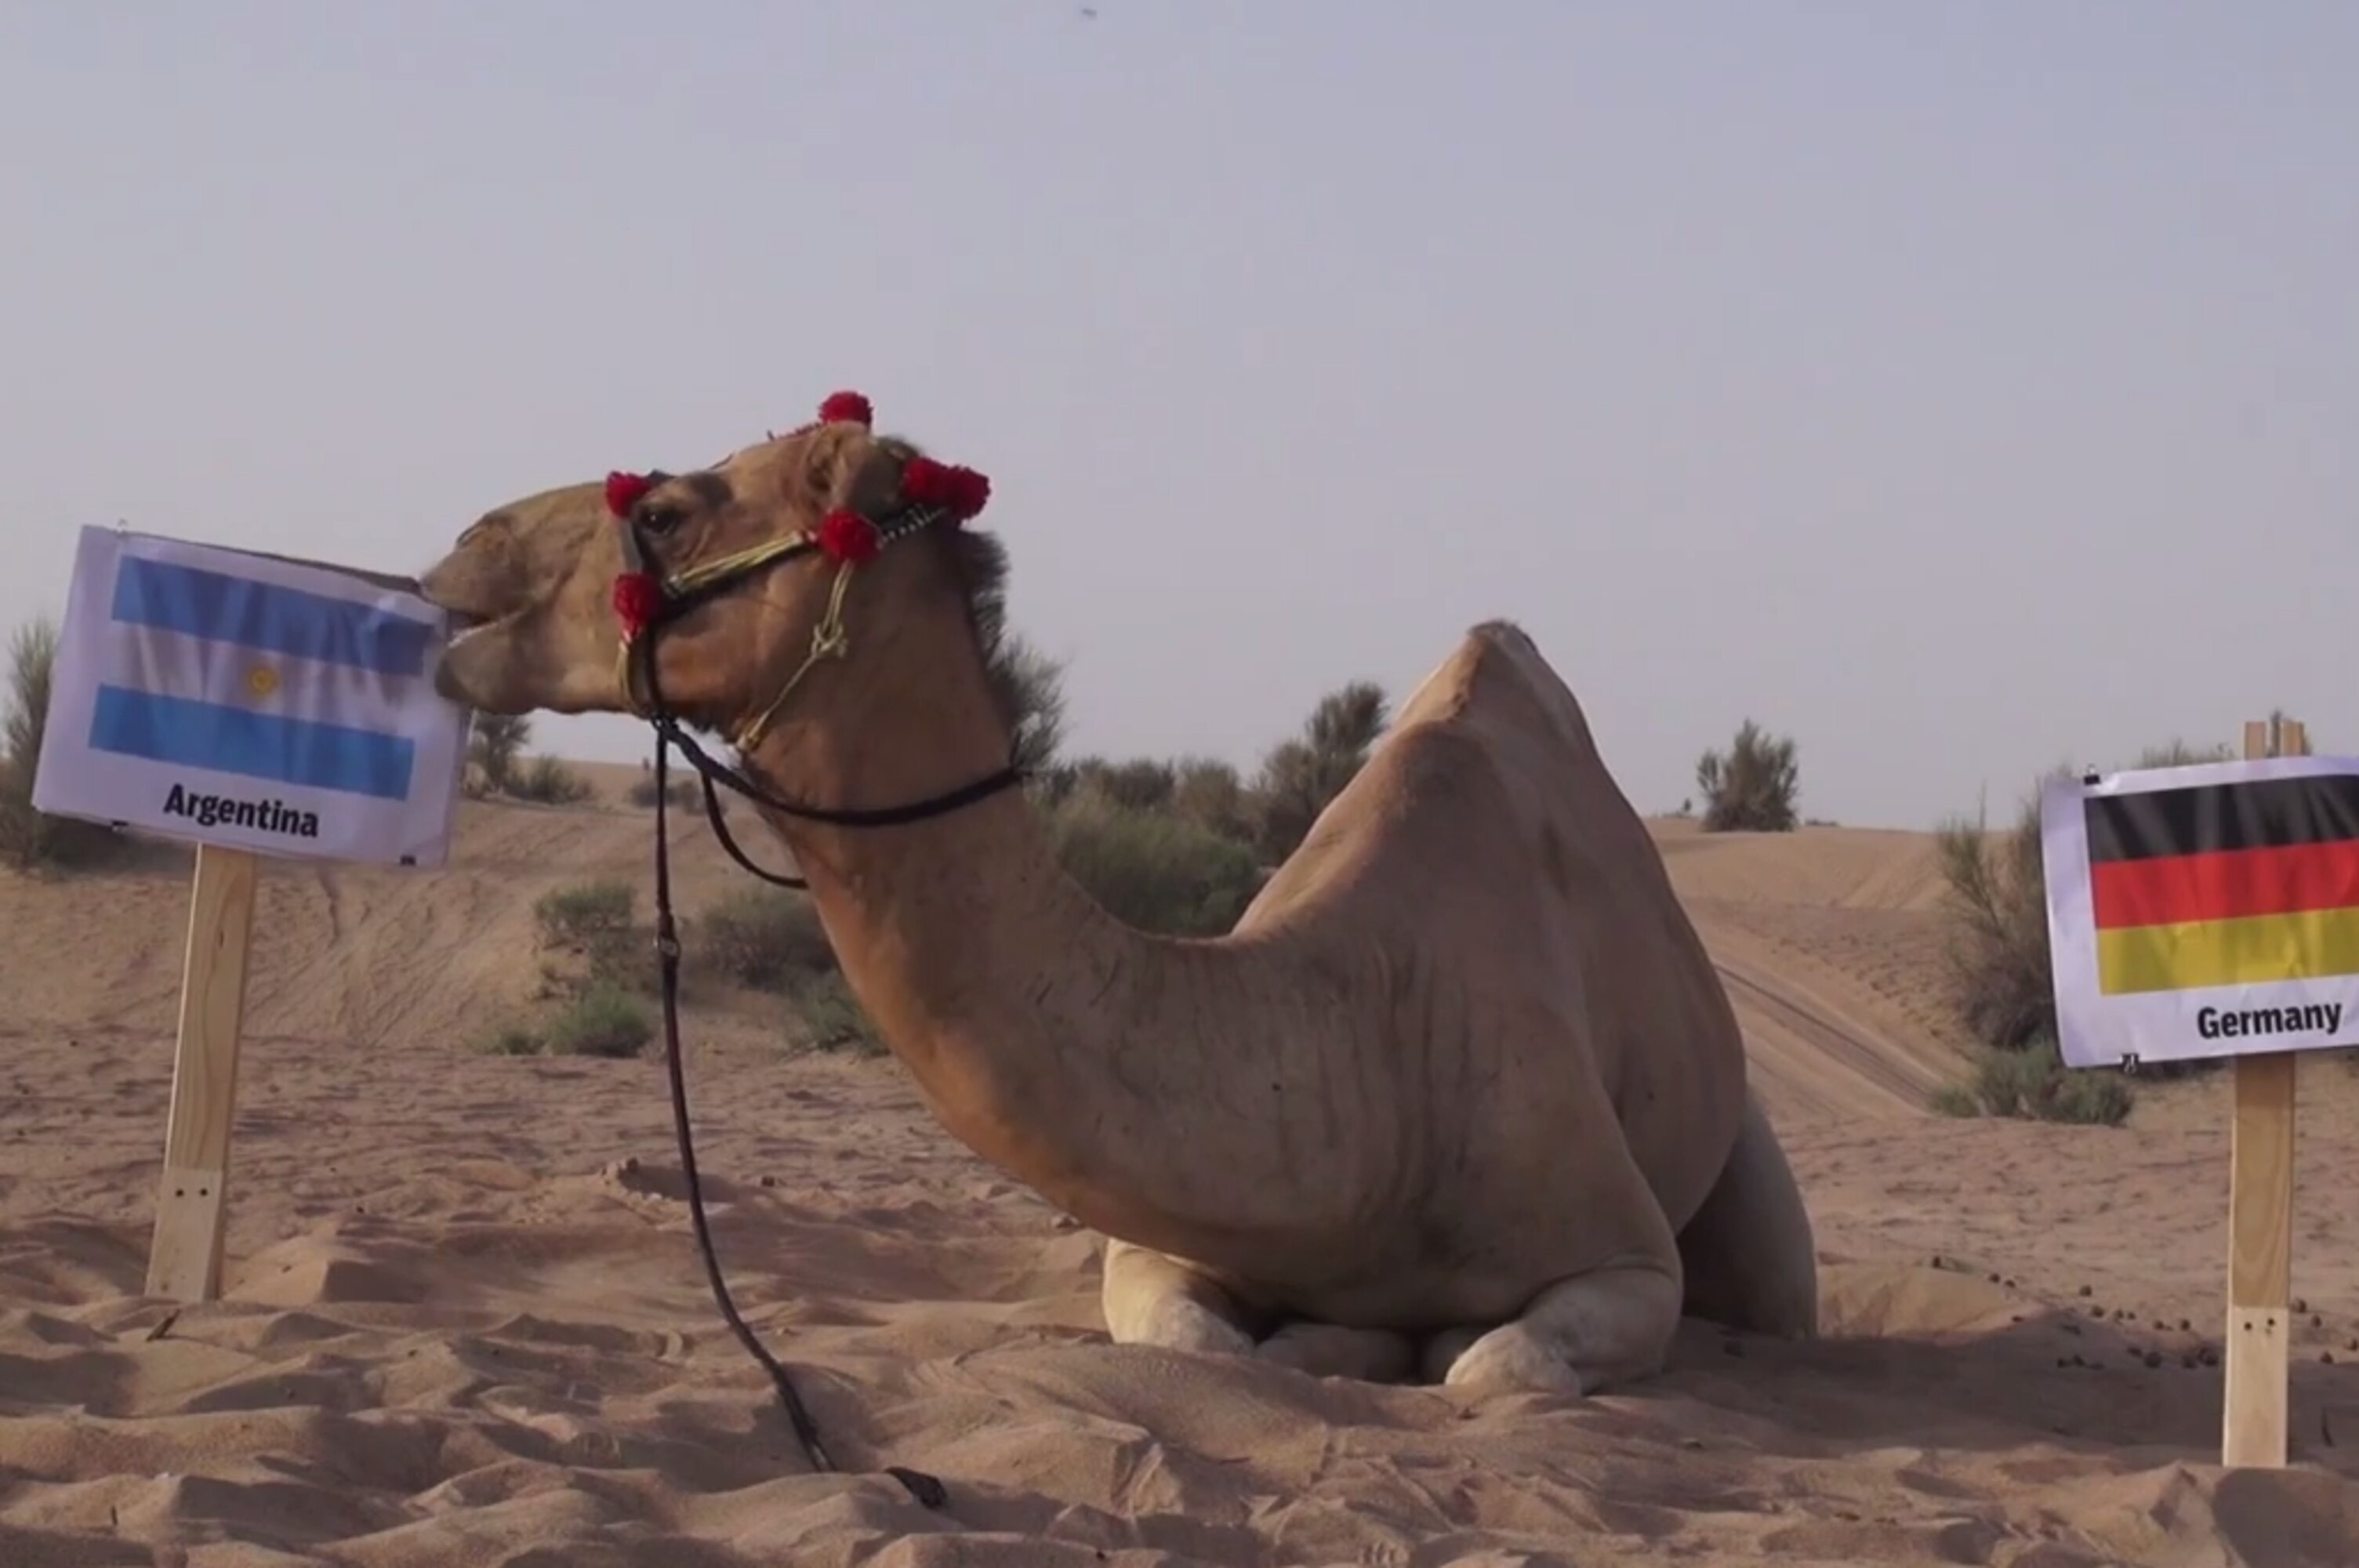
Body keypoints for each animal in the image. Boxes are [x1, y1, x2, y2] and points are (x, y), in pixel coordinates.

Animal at [417, 394, 1819, 1398]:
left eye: (664, 511)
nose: (462, 546)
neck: (1367, 1056)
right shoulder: (1162, 1239)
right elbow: (1187, 1343)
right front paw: (1331, 1344)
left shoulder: (1620, 1254)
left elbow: (1495, 1367)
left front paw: (1396, 1345)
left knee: (1775, 1300)